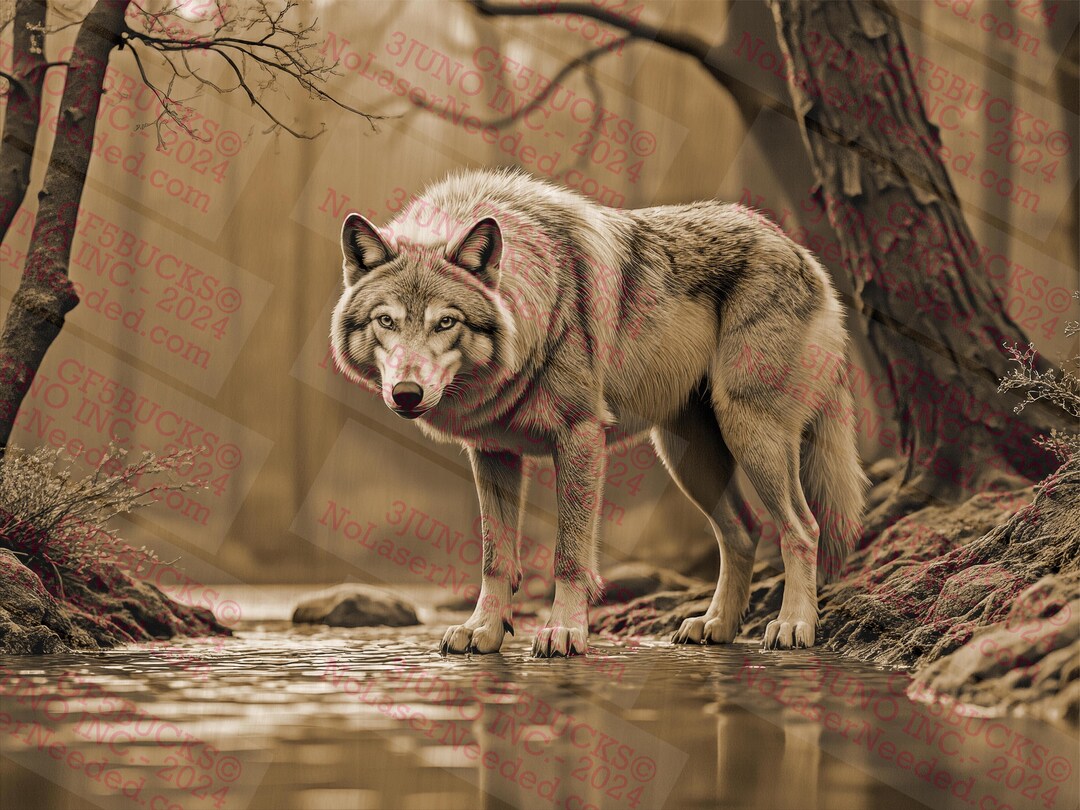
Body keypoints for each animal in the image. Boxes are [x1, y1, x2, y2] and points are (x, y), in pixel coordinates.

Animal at [331, 169, 868, 658]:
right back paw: (716, 626)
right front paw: (482, 630)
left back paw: (794, 626)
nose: (406, 393)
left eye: (446, 322)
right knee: (743, 532)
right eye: (386, 320)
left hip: (749, 434)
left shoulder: (580, 438)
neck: (534, 320)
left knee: (803, 529)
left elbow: (569, 555)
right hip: (688, 459)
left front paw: (564, 631)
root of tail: (802, 253)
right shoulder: (493, 454)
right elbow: (494, 558)